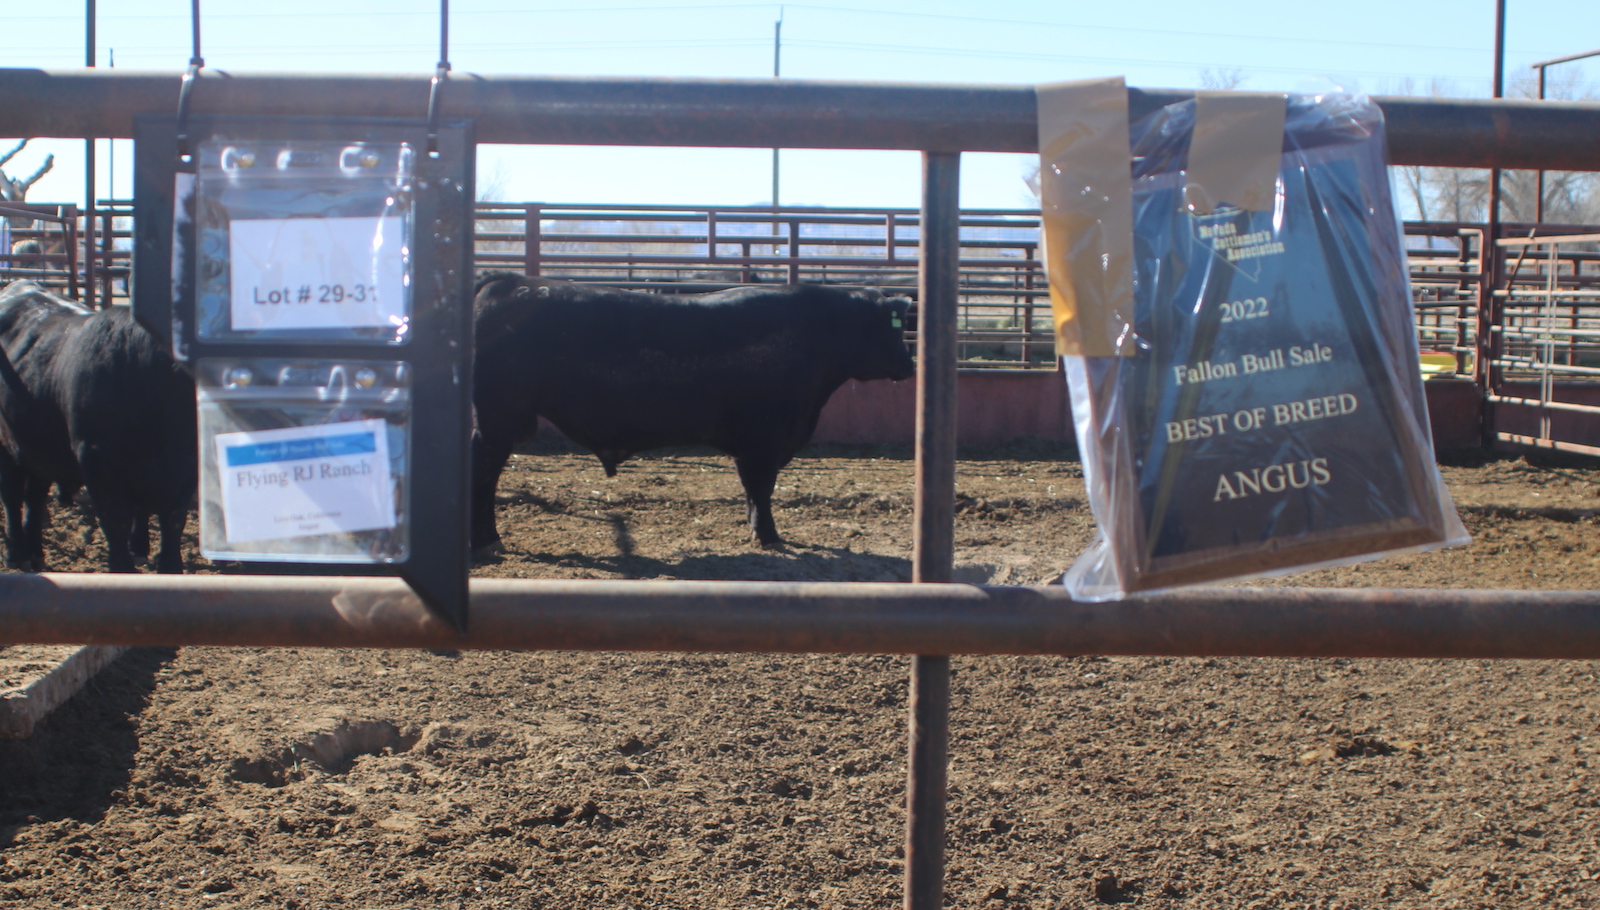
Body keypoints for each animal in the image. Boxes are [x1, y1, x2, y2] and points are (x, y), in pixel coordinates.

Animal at [0, 281, 197, 573]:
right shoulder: (96, 457)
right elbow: (117, 521)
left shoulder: (187, 468)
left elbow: (172, 522)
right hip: (6, 445)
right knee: (11, 496)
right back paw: (16, 554)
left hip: (38, 445)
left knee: (34, 495)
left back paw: (34, 554)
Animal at [471, 273, 915, 553]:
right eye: (895, 327)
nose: (911, 366)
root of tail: (509, 280)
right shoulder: (763, 439)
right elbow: (762, 488)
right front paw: (769, 537)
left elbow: (753, 492)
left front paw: (756, 530)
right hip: (497, 420)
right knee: (484, 472)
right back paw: (487, 541)